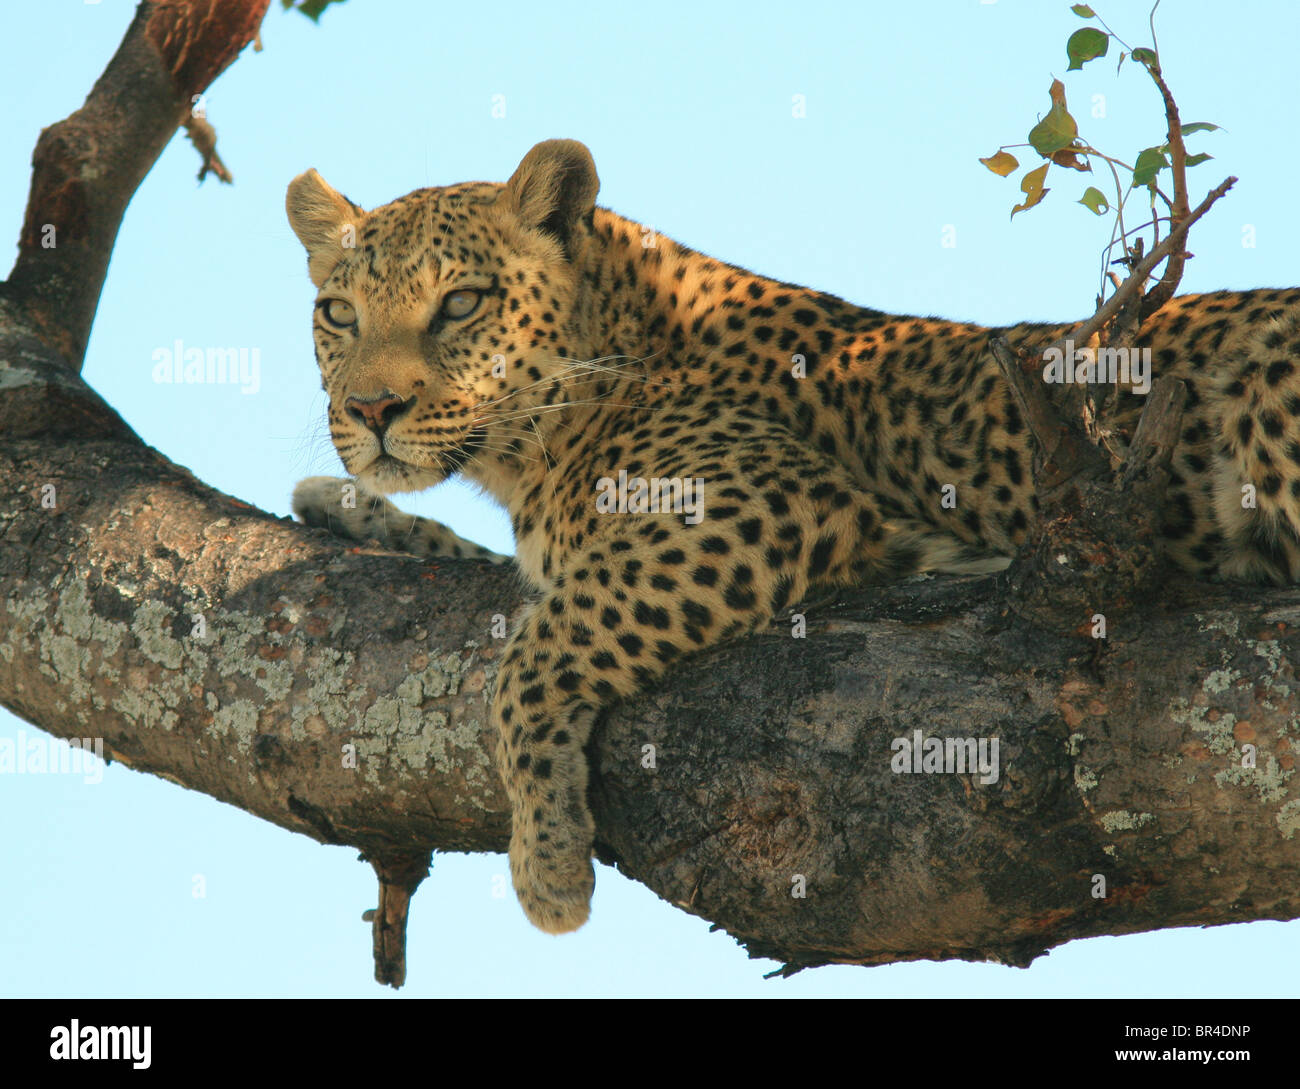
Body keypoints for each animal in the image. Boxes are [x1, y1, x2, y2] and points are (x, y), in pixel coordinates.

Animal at [286, 138, 1300, 934]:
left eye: (459, 304)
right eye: (338, 314)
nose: (370, 410)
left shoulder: (766, 501)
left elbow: (536, 651)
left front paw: (548, 860)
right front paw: (343, 503)